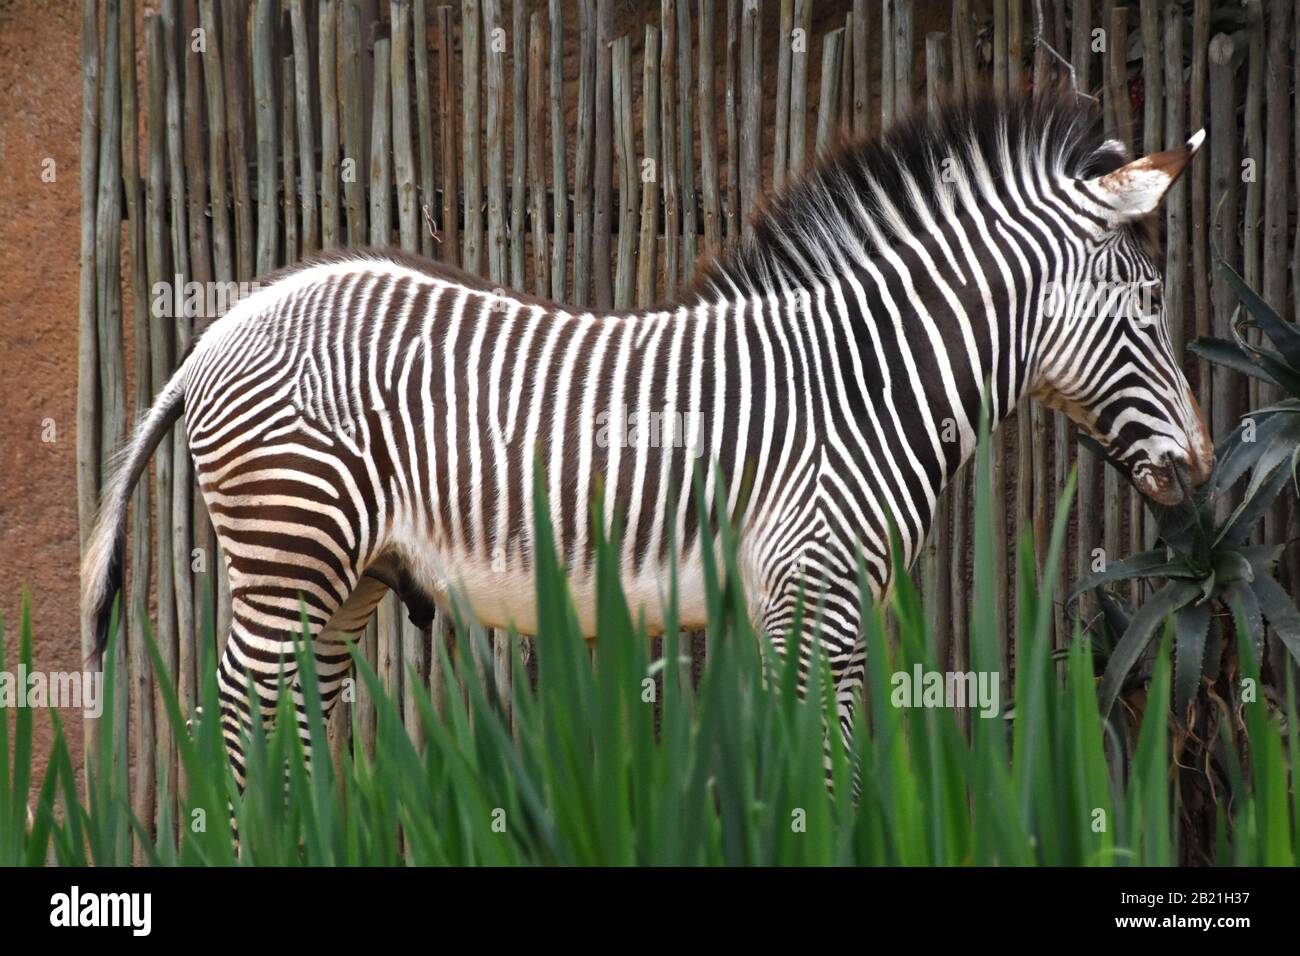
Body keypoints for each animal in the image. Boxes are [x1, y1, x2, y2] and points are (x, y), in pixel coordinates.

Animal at [82, 91, 1213, 790]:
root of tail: (219, 327)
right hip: (287, 557)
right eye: (1151, 307)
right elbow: (834, 777)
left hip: (345, 577)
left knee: (291, 737)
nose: (1202, 469)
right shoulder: (818, 594)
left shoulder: (790, 605)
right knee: (237, 728)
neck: (863, 380)